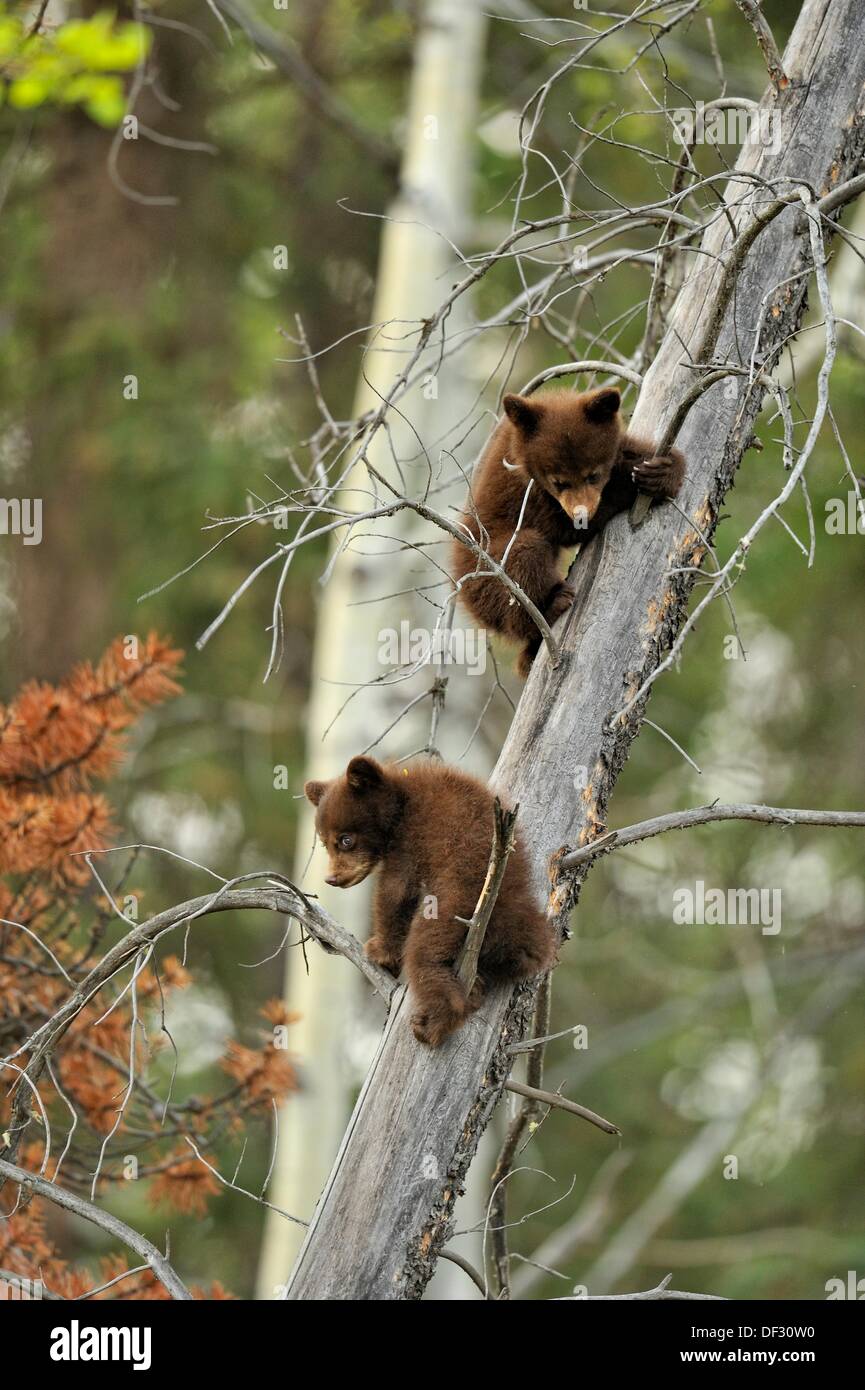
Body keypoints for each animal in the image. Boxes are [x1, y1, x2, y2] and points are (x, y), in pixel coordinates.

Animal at [304, 755, 556, 1047]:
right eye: (324, 843)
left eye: (346, 840)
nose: (332, 878)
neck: (401, 801)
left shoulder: (410, 840)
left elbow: (396, 891)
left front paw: (380, 952)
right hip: (517, 923)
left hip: (452, 908)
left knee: (424, 956)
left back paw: (434, 1022)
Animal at [450, 386, 685, 677]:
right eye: (559, 482)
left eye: (593, 474)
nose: (582, 513)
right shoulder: (526, 493)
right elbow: (561, 527)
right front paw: (626, 488)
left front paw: (664, 470)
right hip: (484, 577)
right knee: (524, 553)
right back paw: (550, 608)